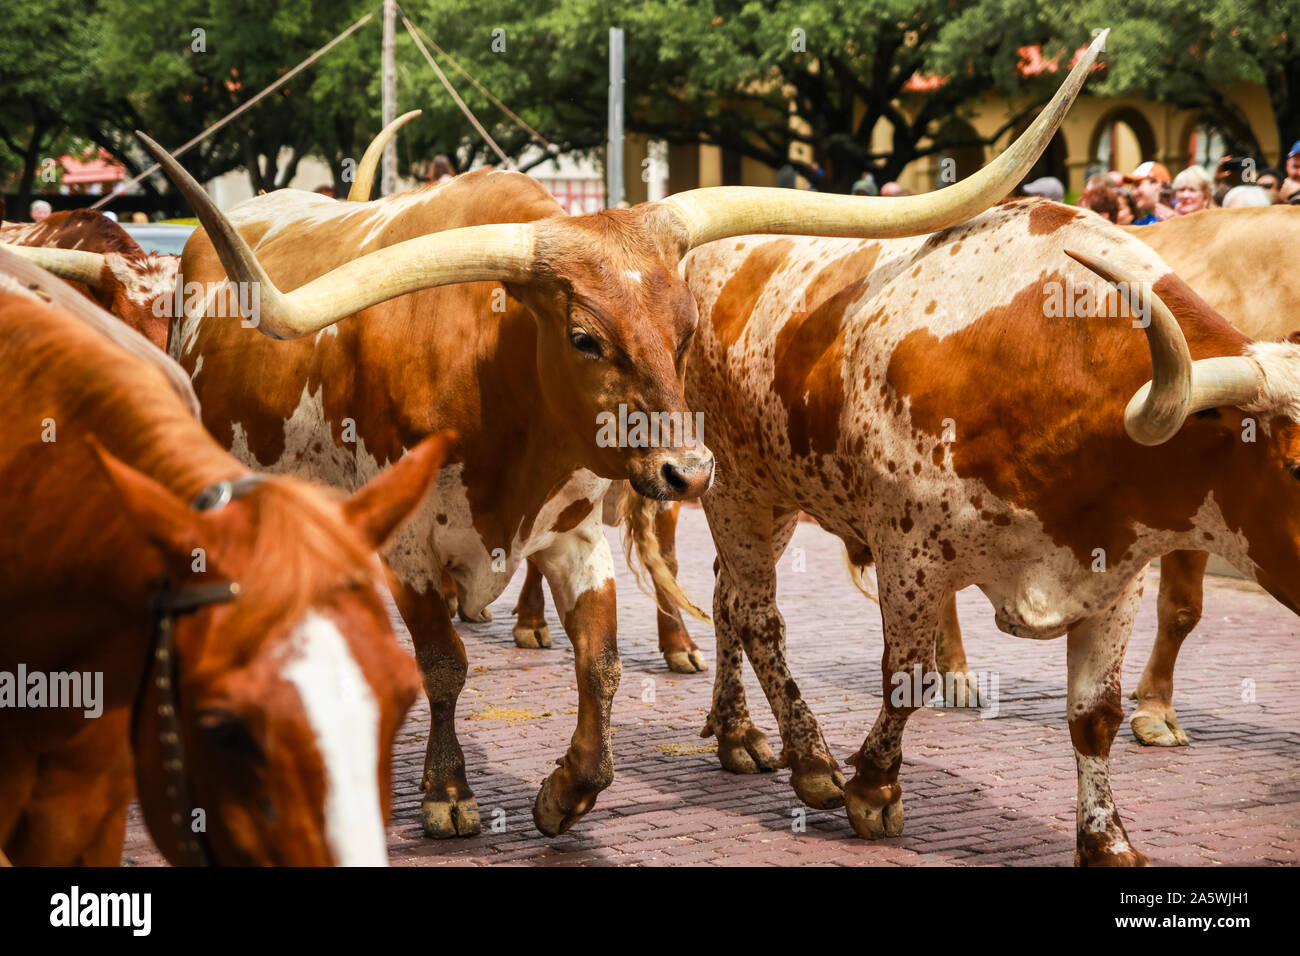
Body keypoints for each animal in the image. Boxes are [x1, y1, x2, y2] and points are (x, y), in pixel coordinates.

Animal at [123, 31, 1101, 840]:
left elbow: (600, 669)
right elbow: (442, 666)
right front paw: (447, 793)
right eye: (585, 338)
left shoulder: (576, 532)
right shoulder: (409, 551)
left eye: (684, 330)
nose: (688, 471)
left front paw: (566, 791)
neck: (495, 394)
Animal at [672, 194, 1300, 865]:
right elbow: (908, 675)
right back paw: (811, 761)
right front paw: (873, 787)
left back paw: (736, 733)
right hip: (734, 488)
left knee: (728, 599)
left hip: (777, 501)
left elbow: (1095, 714)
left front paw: (1106, 839)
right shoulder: (909, 552)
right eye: (1294, 466)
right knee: (759, 617)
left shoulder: (1118, 575)